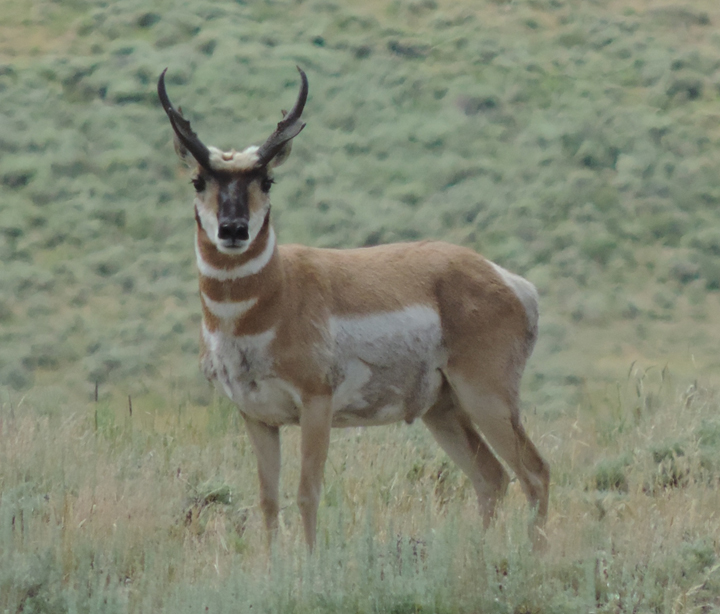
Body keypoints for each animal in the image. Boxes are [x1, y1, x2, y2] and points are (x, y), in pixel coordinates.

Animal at [158, 67, 550, 550]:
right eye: (198, 180)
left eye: (266, 181)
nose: (234, 230)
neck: (274, 295)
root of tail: (508, 281)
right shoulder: (257, 418)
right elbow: (268, 500)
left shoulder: (316, 406)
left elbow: (307, 493)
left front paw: (310, 563)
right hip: (444, 410)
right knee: (491, 477)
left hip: (487, 397)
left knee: (534, 473)